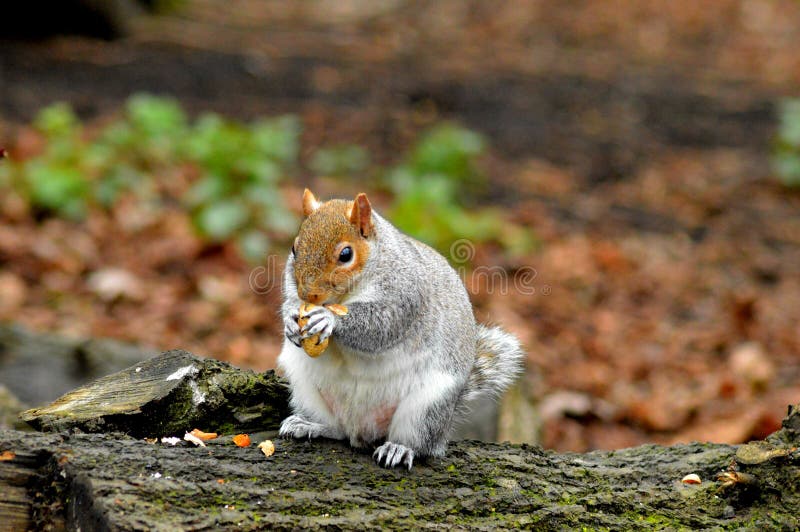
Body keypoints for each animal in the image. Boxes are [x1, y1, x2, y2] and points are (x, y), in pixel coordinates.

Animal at [277, 189, 524, 469]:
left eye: (346, 254)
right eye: (294, 248)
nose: (308, 294)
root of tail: (360, 430)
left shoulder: (405, 294)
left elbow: (382, 325)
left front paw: (329, 319)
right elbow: (289, 302)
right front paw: (290, 319)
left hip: (426, 407)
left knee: (420, 443)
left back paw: (399, 449)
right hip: (304, 387)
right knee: (337, 430)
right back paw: (308, 425)